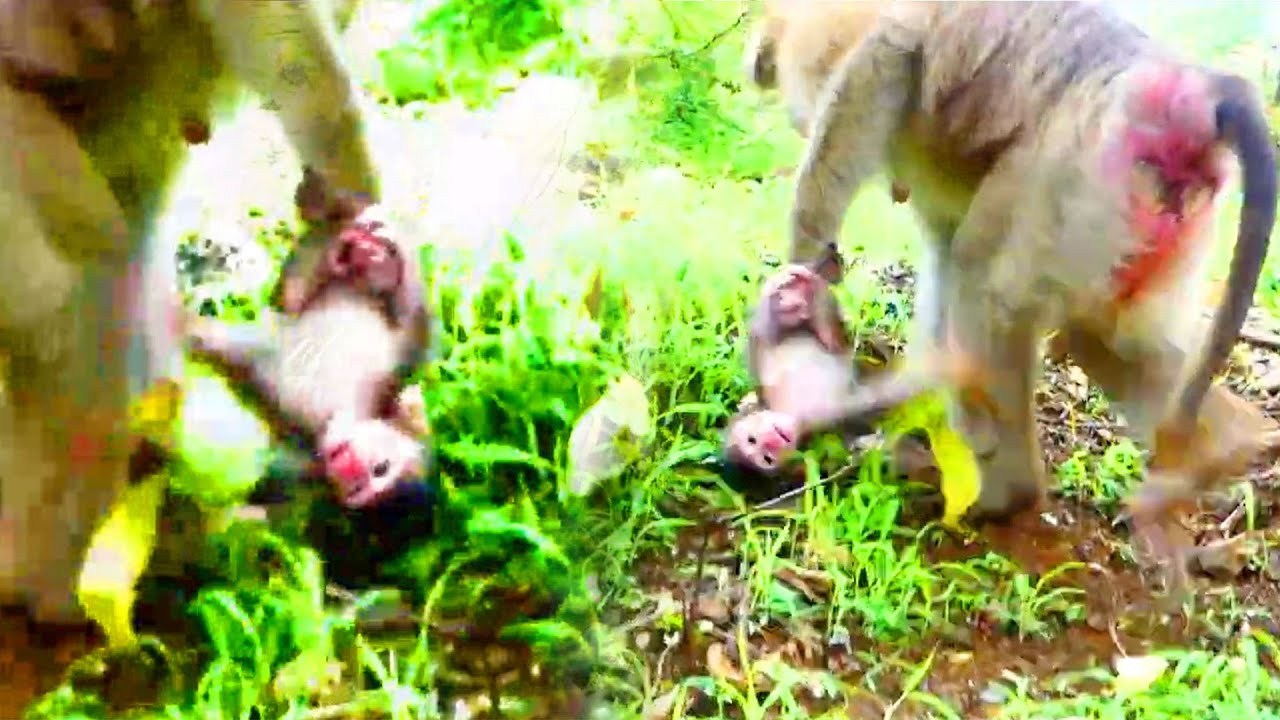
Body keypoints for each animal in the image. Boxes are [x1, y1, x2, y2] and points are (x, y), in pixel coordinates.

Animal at [723, 262, 981, 477]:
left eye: (752, 440)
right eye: (765, 458)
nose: (771, 443)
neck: (796, 416)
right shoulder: (830, 420)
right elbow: (878, 403)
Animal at [757, 1, 1278, 587]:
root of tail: (1195, 90)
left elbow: (890, 56)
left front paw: (803, 264)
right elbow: (942, 246)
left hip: (1077, 168)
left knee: (986, 286)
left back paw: (1009, 493)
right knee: (1099, 337)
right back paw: (1228, 446)